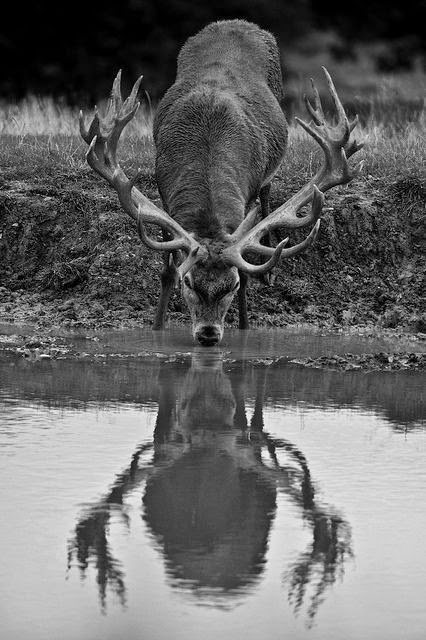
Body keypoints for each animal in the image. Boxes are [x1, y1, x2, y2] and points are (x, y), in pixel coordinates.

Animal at [79, 19, 363, 346]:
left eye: (231, 285)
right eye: (189, 282)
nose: (208, 334)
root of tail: (236, 22)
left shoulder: (248, 193)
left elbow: (248, 269)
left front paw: (245, 328)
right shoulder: (163, 191)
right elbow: (166, 269)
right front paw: (157, 328)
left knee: (267, 195)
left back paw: (271, 267)